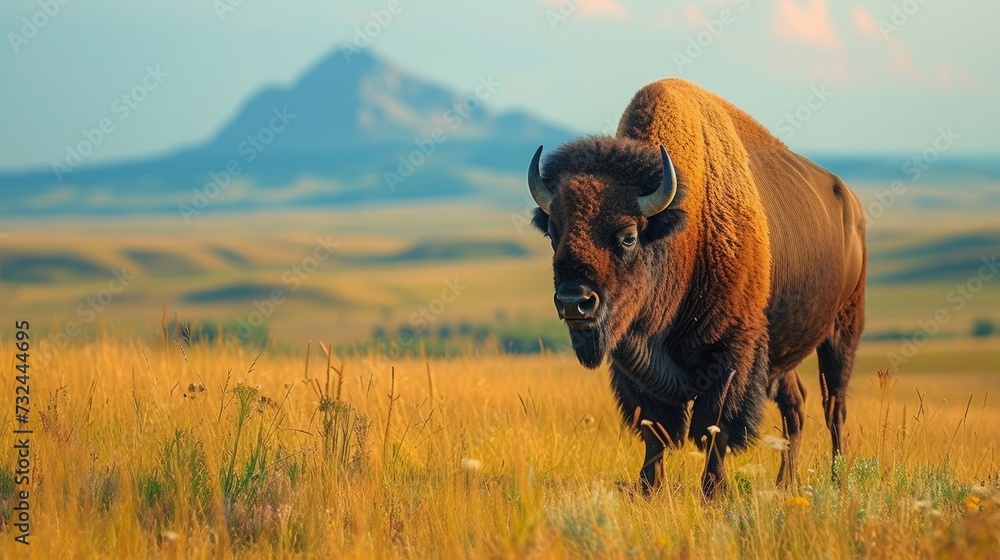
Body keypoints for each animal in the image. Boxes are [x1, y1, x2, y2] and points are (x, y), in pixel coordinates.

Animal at [527, 79, 866, 498]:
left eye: (628, 236)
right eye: (553, 232)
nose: (575, 302)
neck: (684, 229)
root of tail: (851, 204)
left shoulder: (730, 353)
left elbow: (714, 425)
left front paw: (713, 491)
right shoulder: (633, 362)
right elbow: (654, 427)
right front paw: (648, 487)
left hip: (842, 330)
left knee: (834, 406)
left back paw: (837, 480)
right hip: (779, 350)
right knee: (796, 404)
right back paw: (786, 483)